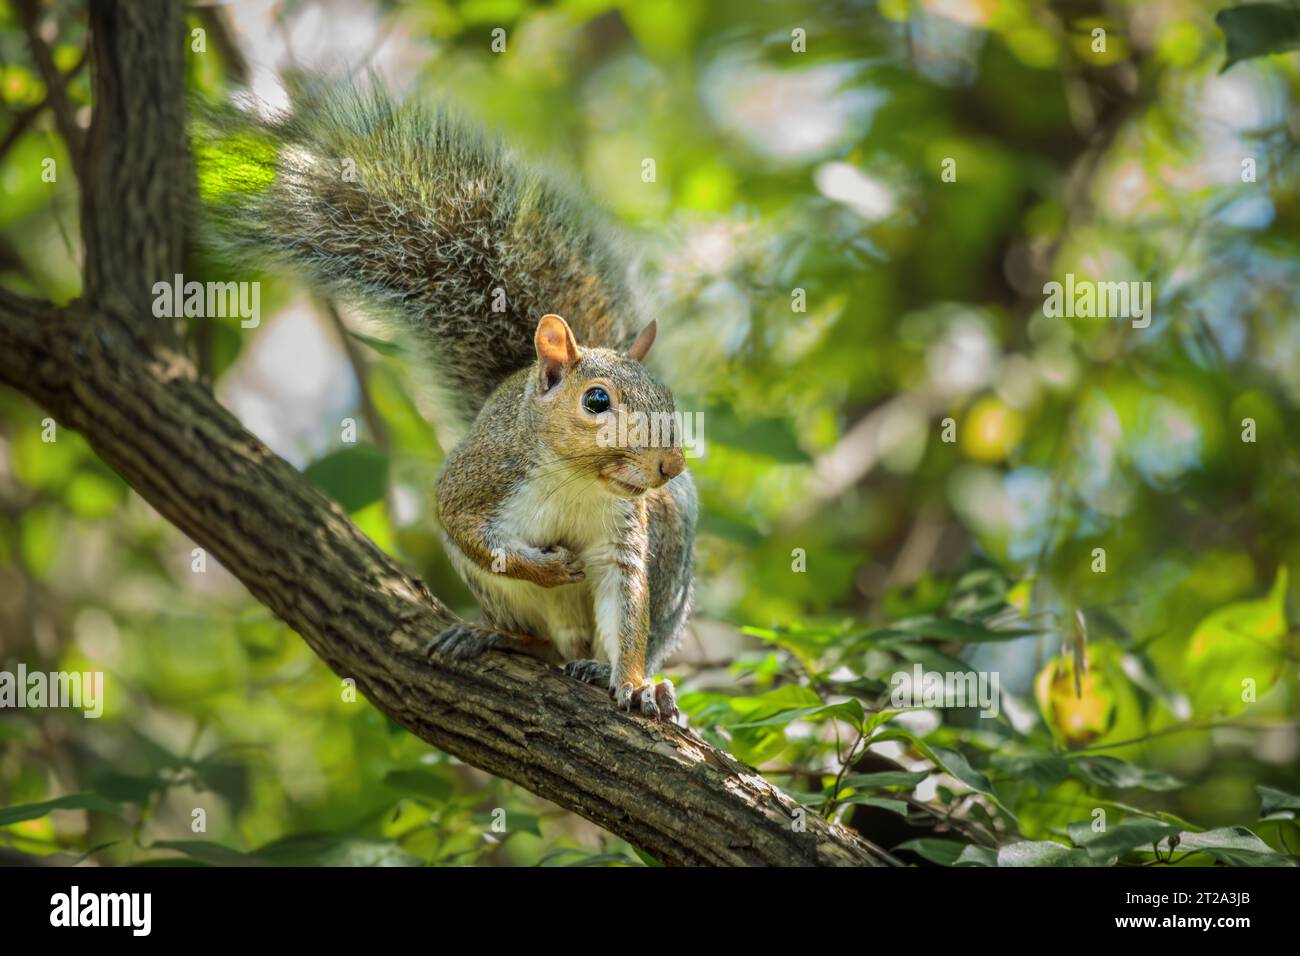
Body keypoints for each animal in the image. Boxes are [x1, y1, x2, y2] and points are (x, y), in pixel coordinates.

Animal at [195, 78, 697, 719]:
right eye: (597, 402)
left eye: (668, 395)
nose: (670, 464)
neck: (577, 481)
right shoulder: (479, 478)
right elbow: (466, 529)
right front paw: (543, 565)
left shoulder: (621, 541)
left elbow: (628, 613)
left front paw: (631, 681)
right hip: (503, 598)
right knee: (537, 640)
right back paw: (497, 637)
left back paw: (614, 671)